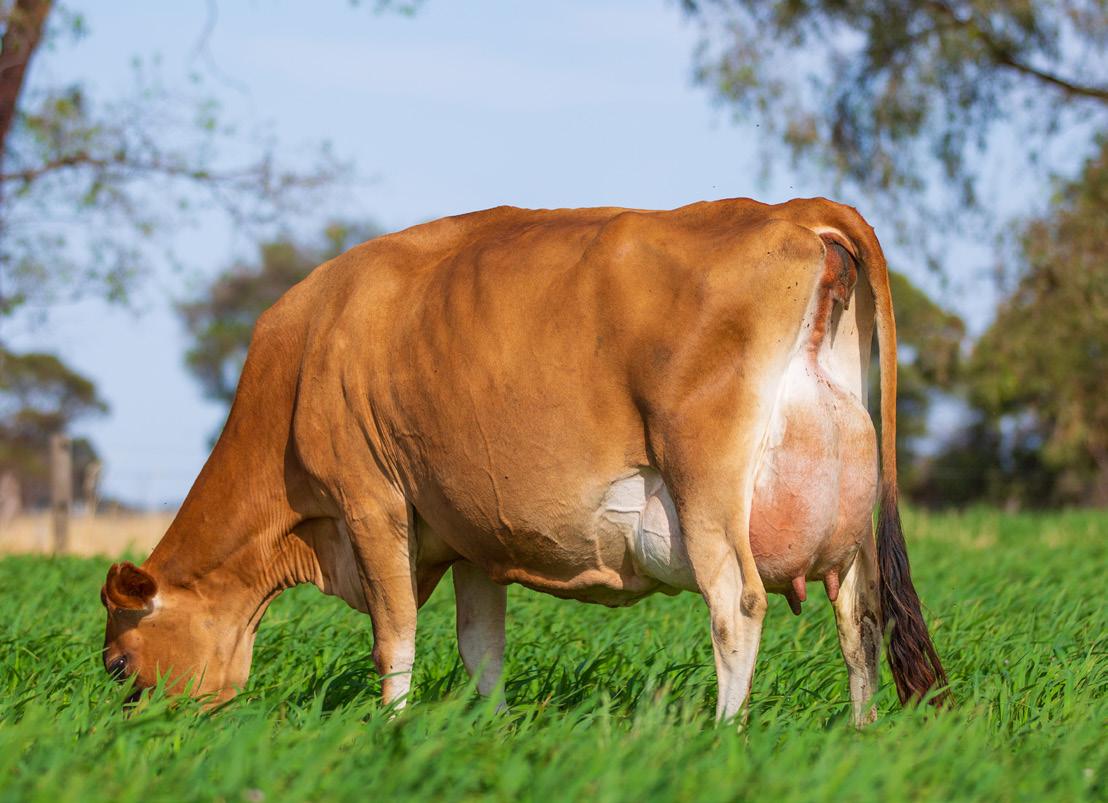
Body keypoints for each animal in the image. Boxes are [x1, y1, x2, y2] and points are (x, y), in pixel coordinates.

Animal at [100, 197, 949, 724]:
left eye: (116, 664)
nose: (130, 726)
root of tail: (789, 210)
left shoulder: (371, 499)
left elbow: (393, 636)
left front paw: (391, 730)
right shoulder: (475, 534)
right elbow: (482, 648)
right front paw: (493, 730)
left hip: (707, 488)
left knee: (736, 603)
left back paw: (722, 735)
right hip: (847, 520)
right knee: (860, 617)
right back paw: (863, 734)